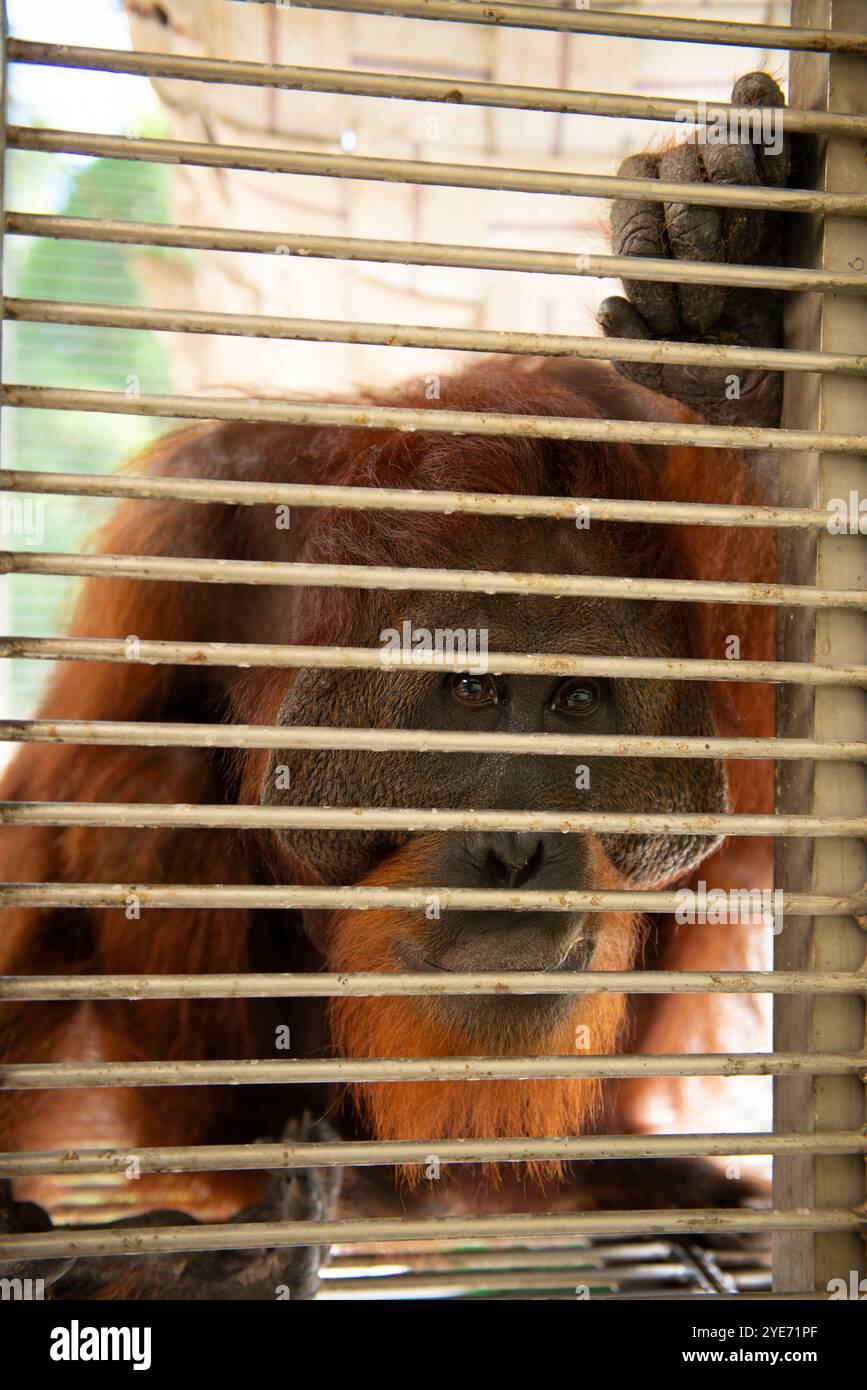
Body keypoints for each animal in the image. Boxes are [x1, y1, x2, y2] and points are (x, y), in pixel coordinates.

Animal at [0, 74, 788, 1298]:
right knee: (135, 786)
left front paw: (731, 336)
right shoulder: (182, 533)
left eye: (572, 705)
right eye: (469, 694)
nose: (516, 851)